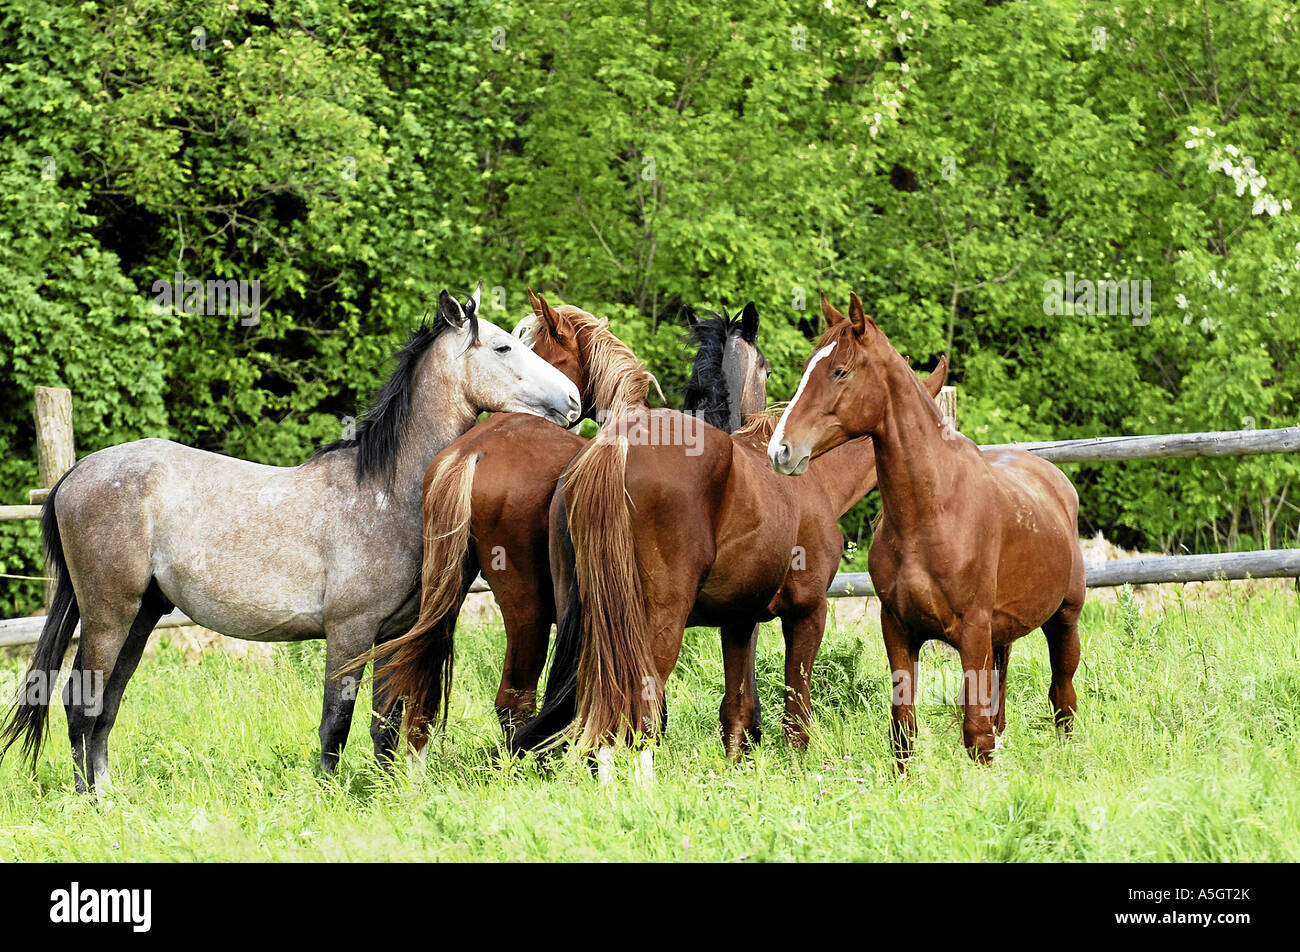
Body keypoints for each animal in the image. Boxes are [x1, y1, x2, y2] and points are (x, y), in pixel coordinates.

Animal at [0, 286, 583, 792]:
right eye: (503, 346)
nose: (575, 401)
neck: (385, 491)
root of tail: (75, 475)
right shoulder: (349, 633)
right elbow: (336, 724)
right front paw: (327, 796)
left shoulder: (394, 636)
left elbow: (385, 726)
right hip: (108, 614)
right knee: (82, 705)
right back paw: (94, 804)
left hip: (141, 616)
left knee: (107, 707)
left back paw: (110, 795)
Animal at [511, 309, 946, 761]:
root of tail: (615, 446)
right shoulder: (808, 612)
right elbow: (795, 719)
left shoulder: (738, 621)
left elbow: (737, 711)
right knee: (635, 719)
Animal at [767, 292, 1085, 767]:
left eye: (839, 371)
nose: (781, 450)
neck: (931, 514)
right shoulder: (899, 629)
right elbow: (904, 730)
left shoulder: (973, 632)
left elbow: (976, 735)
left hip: (1064, 621)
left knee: (1062, 699)